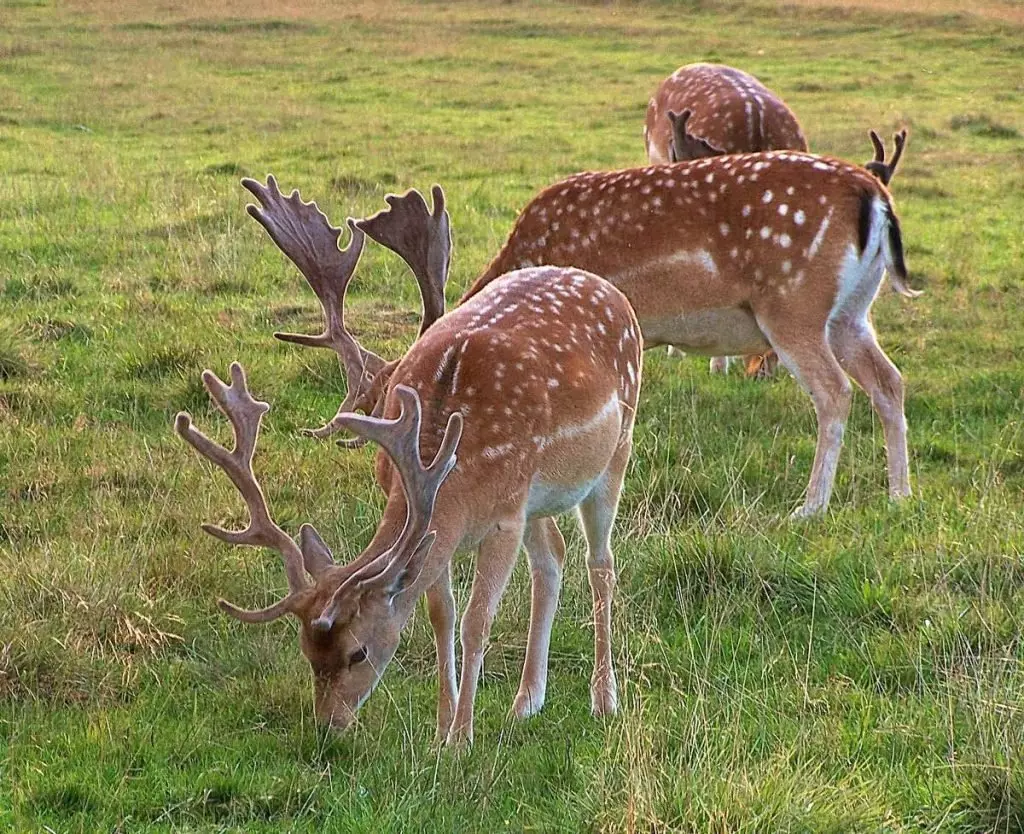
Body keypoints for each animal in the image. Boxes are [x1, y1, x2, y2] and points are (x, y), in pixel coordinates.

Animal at [176, 175, 638, 745]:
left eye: (358, 652)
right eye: (306, 652)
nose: (328, 726)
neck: (454, 472)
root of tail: (608, 289)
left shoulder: (505, 517)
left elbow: (476, 620)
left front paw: (461, 739)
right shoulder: (451, 525)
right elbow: (441, 614)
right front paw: (442, 727)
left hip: (615, 451)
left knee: (601, 563)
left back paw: (604, 699)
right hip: (541, 495)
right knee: (552, 555)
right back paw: (527, 701)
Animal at [464, 150, 921, 516]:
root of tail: (875, 195)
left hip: (794, 305)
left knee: (835, 390)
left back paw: (810, 508)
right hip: (851, 313)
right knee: (889, 380)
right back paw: (899, 495)